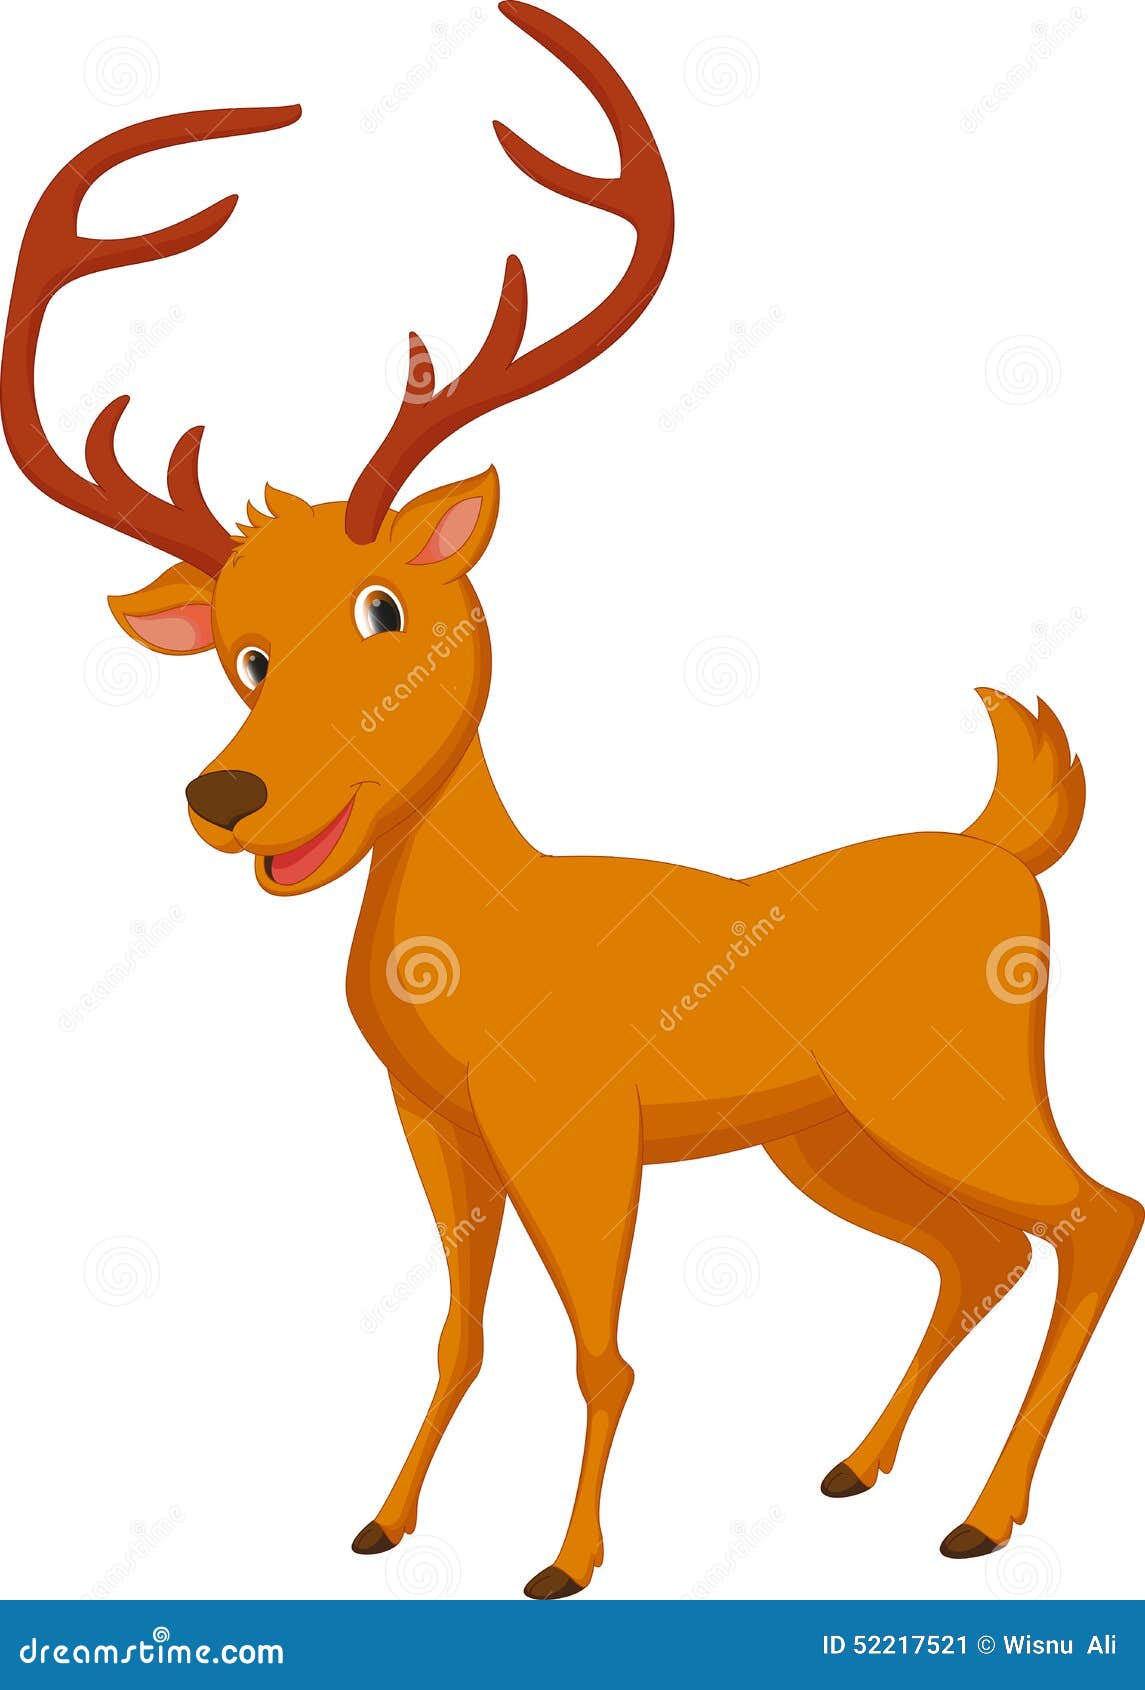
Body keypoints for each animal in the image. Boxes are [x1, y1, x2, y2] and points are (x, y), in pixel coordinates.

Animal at [3, 1, 1140, 1601]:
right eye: (243, 650)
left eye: (383, 606)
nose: (225, 793)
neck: (480, 954)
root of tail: (1010, 844)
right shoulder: (439, 1129)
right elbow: (461, 1330)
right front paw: (382, 1520)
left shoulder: (580, 1123)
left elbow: (602, 1348)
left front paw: (566, 1560)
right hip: (827, 1133)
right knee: (974, 1252)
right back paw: (858, 1467)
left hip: (961, 1081)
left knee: (1093, 1216)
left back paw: (979, 1515)